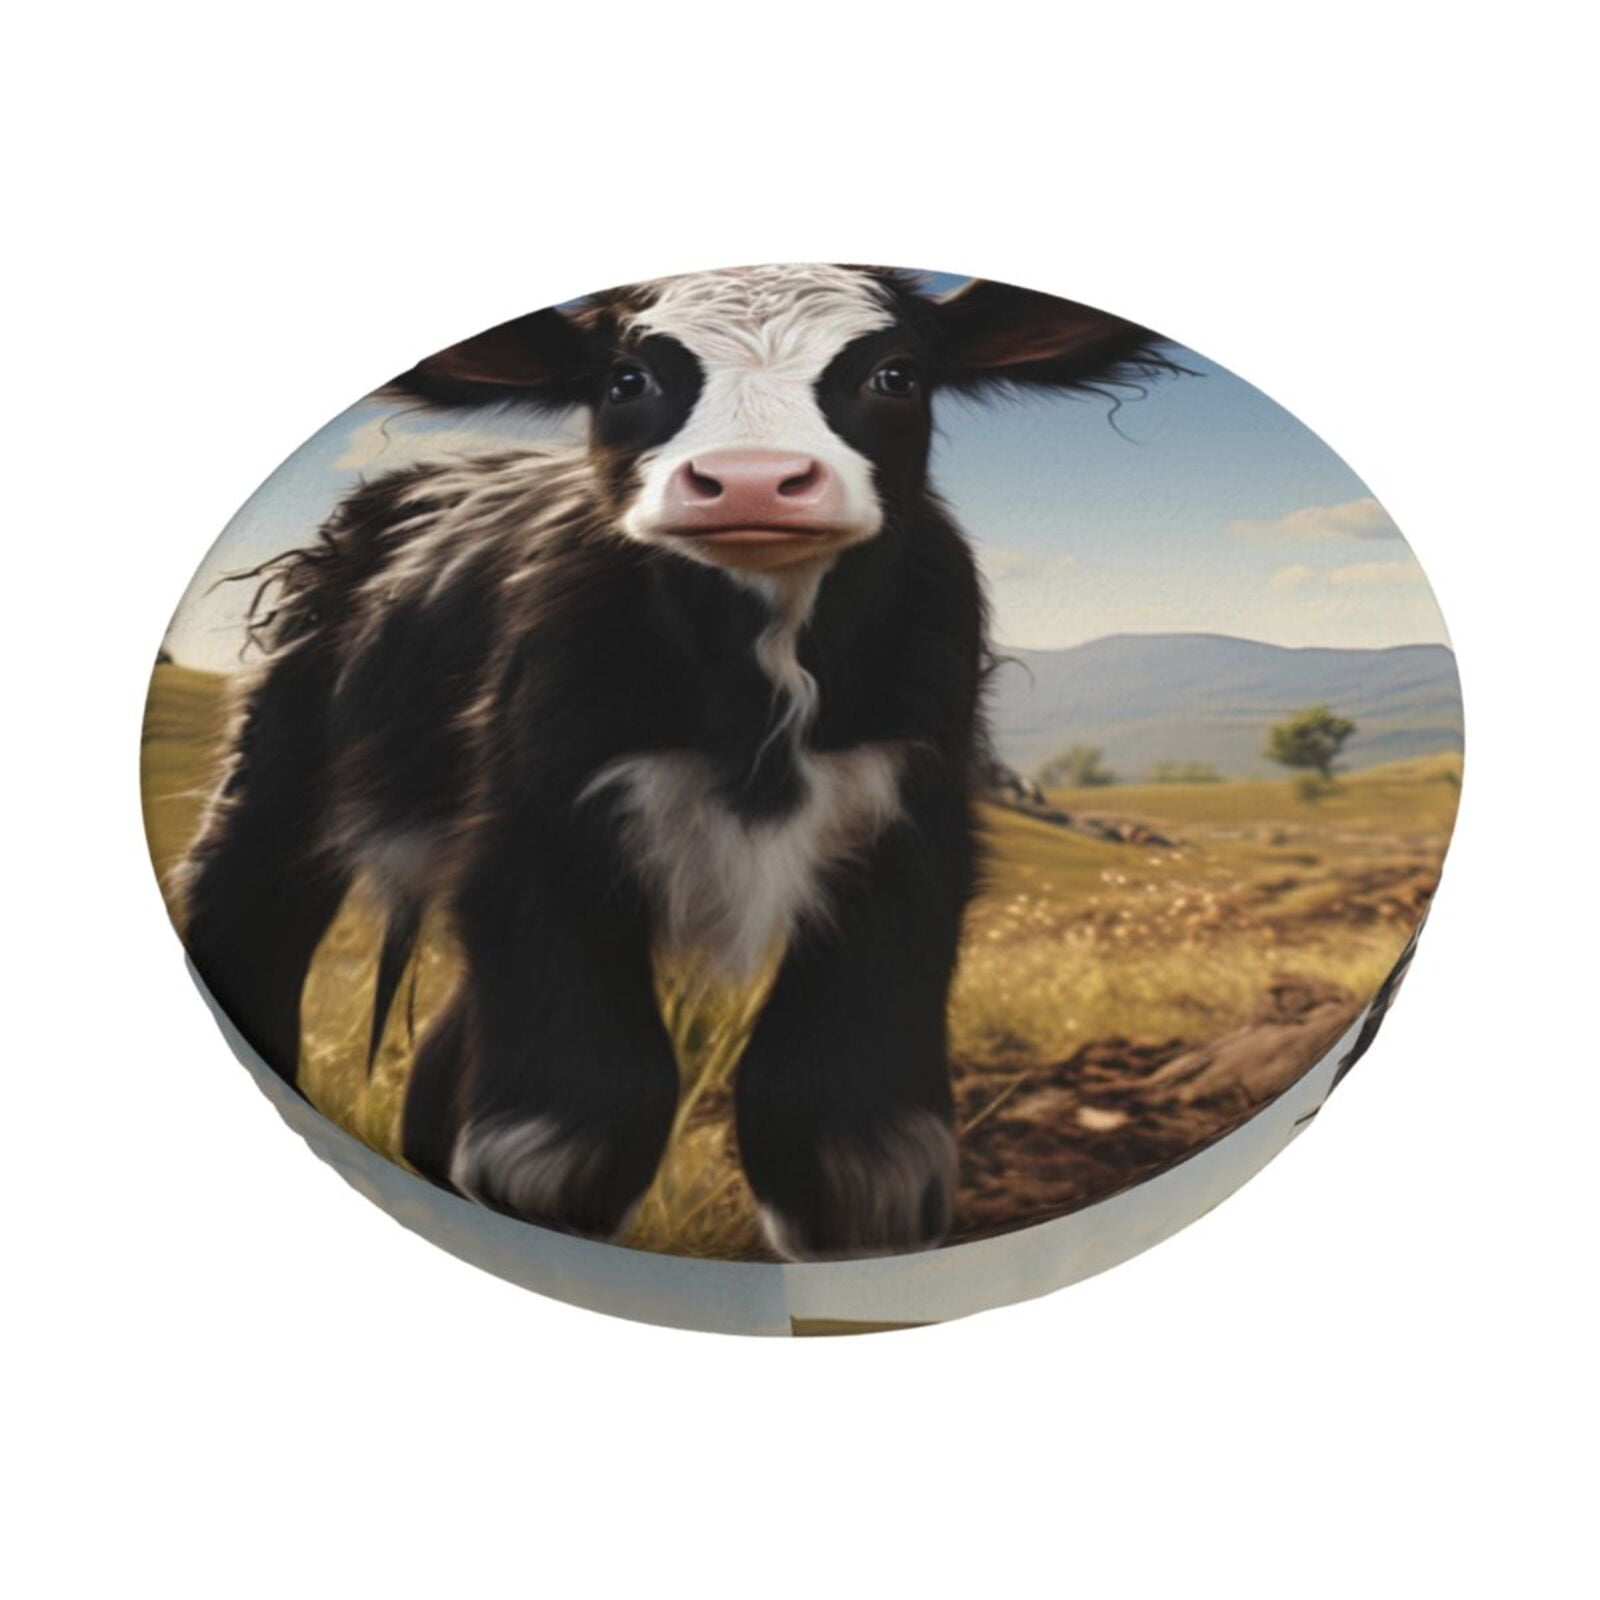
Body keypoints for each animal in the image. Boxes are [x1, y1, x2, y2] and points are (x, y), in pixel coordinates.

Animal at [179, 264, 1179, 1260]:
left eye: (895, 375)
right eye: (626, 381)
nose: (752, 482)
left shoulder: (912, 839)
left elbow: (849, 1130)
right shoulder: (536, 831)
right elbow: (577, 1121)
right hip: (279, 771)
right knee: (249, 911)